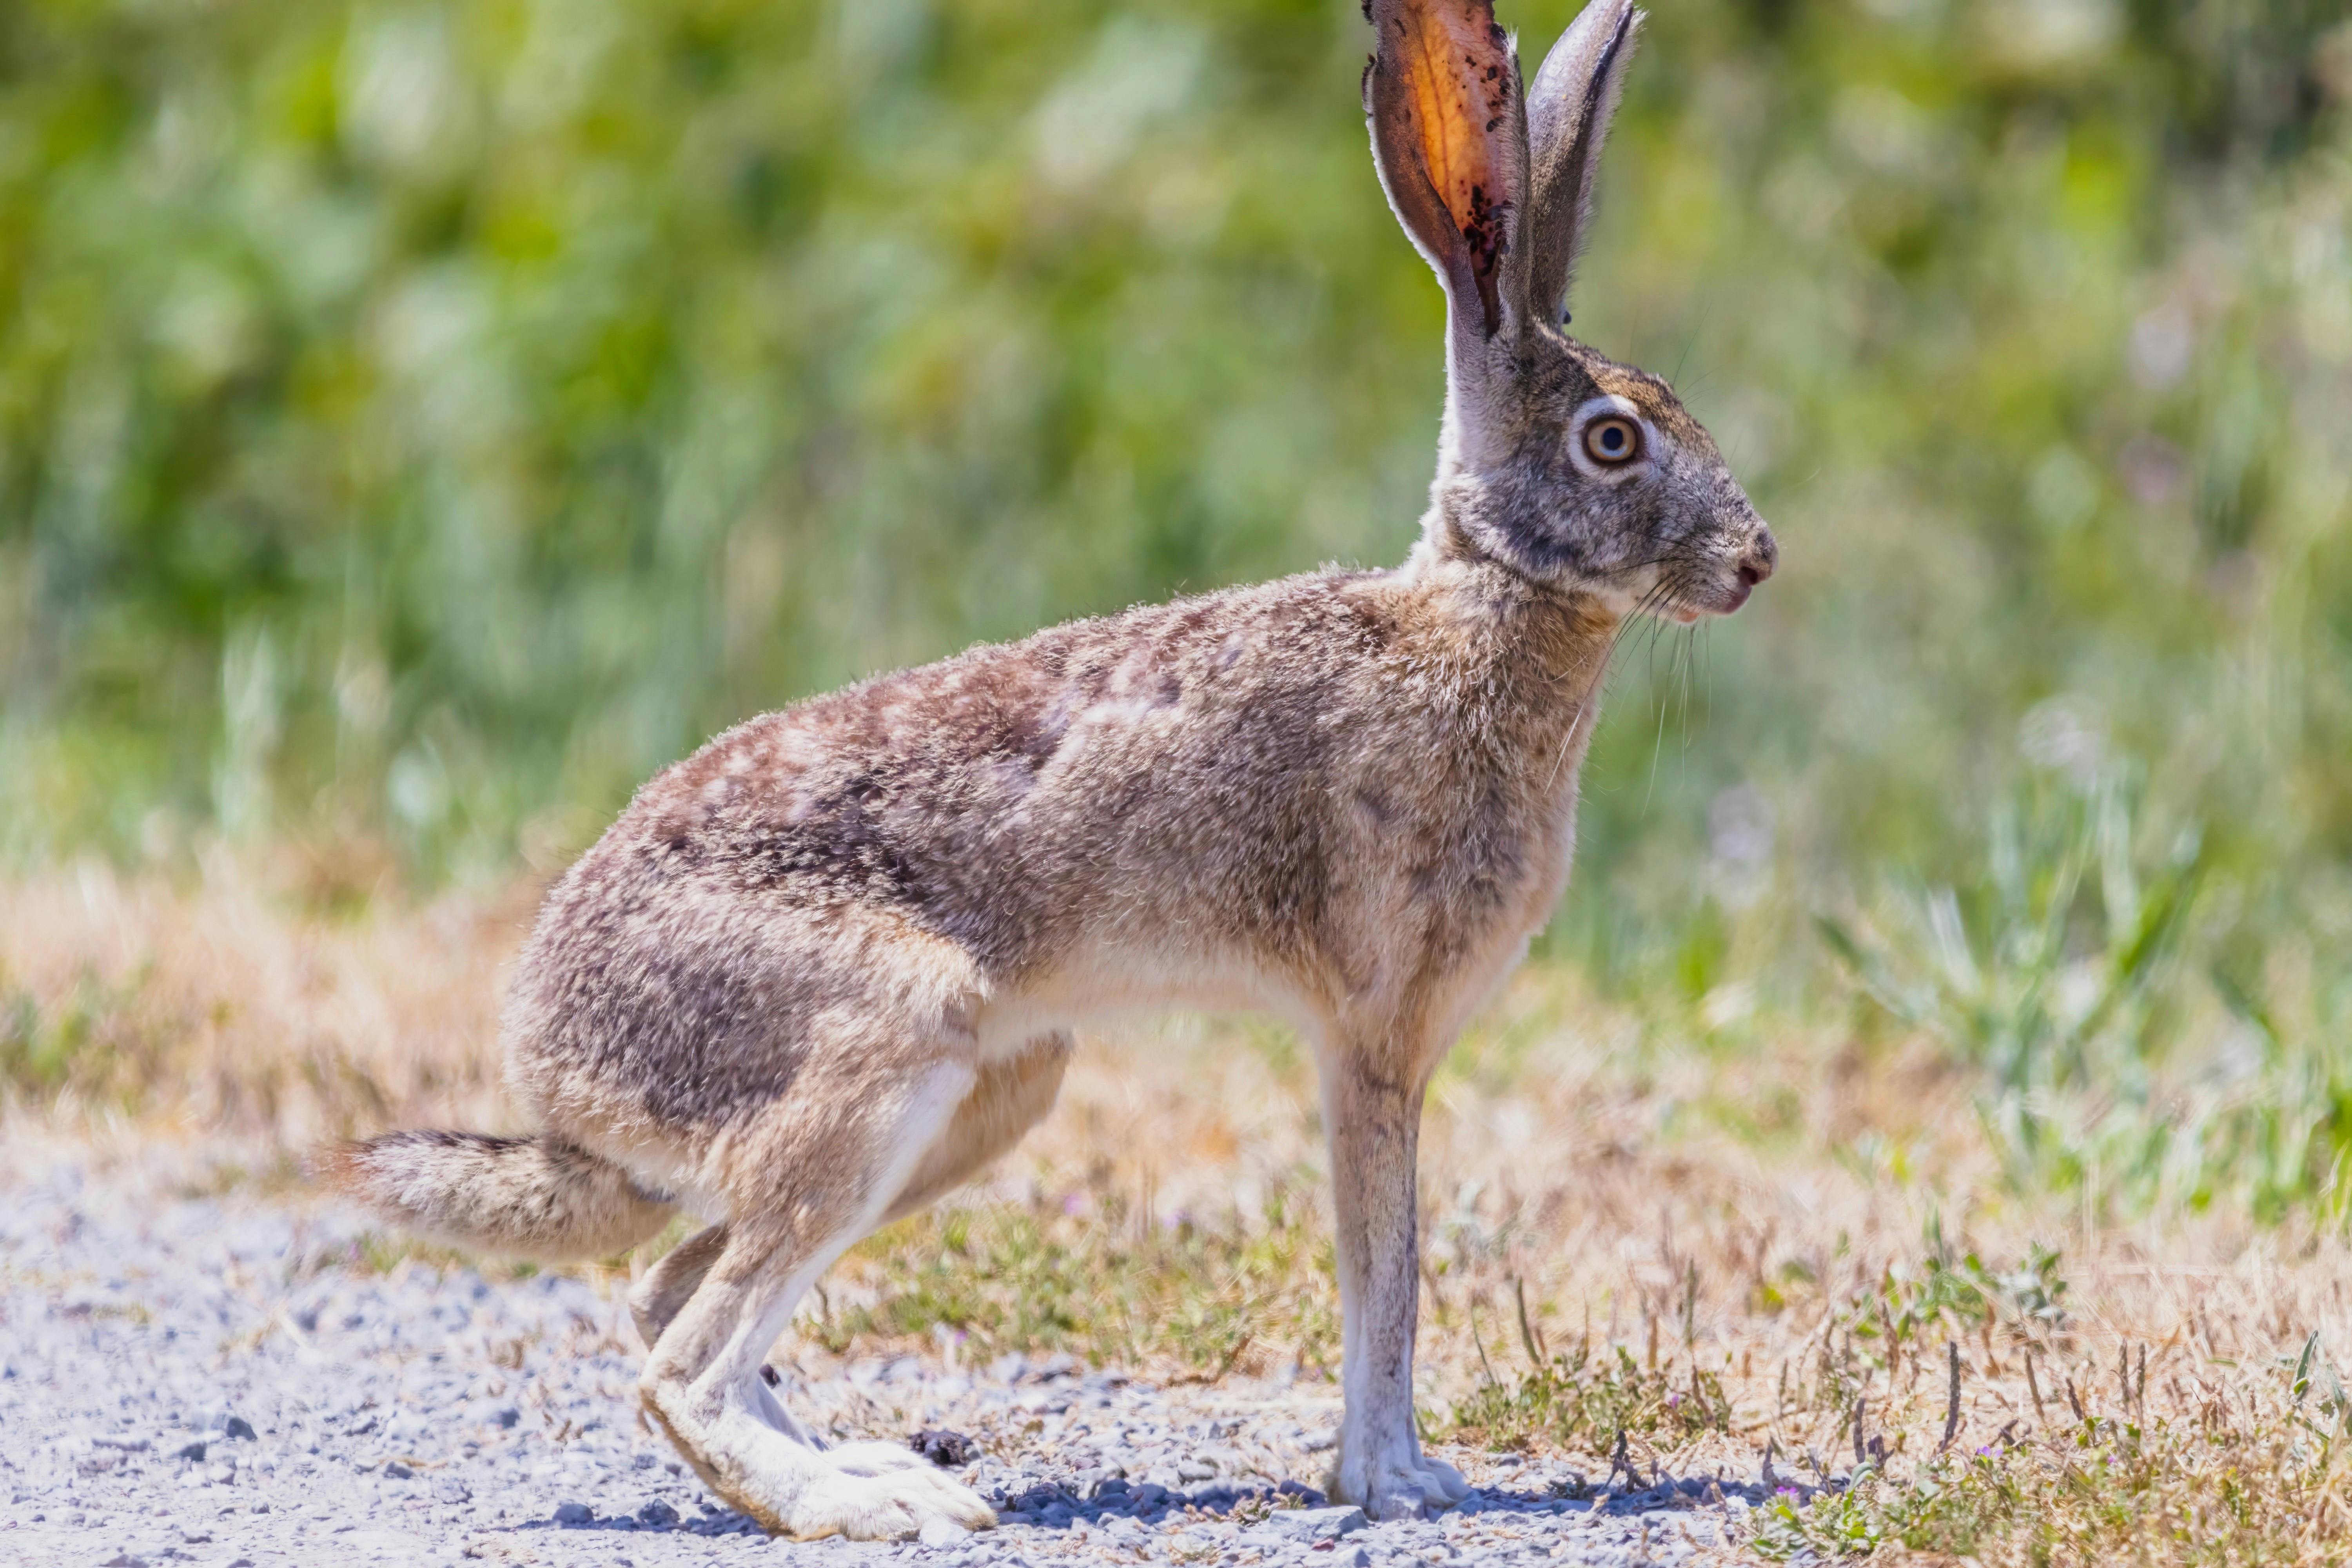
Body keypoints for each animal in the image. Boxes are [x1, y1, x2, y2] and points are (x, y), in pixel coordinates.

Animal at [326, 0, 1775, 1539]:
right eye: (1611, 439)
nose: (1758, 560)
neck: (1482, 611)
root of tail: (555, 1077)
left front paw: (1401, 1472)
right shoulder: (1373, 1040)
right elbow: (1387, 1266)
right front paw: (1398, 1479)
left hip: (994, 1087)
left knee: (664, 1297)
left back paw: (873, 1468)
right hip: (877, 1049)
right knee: (682, 1358)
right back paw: (870, 1510)